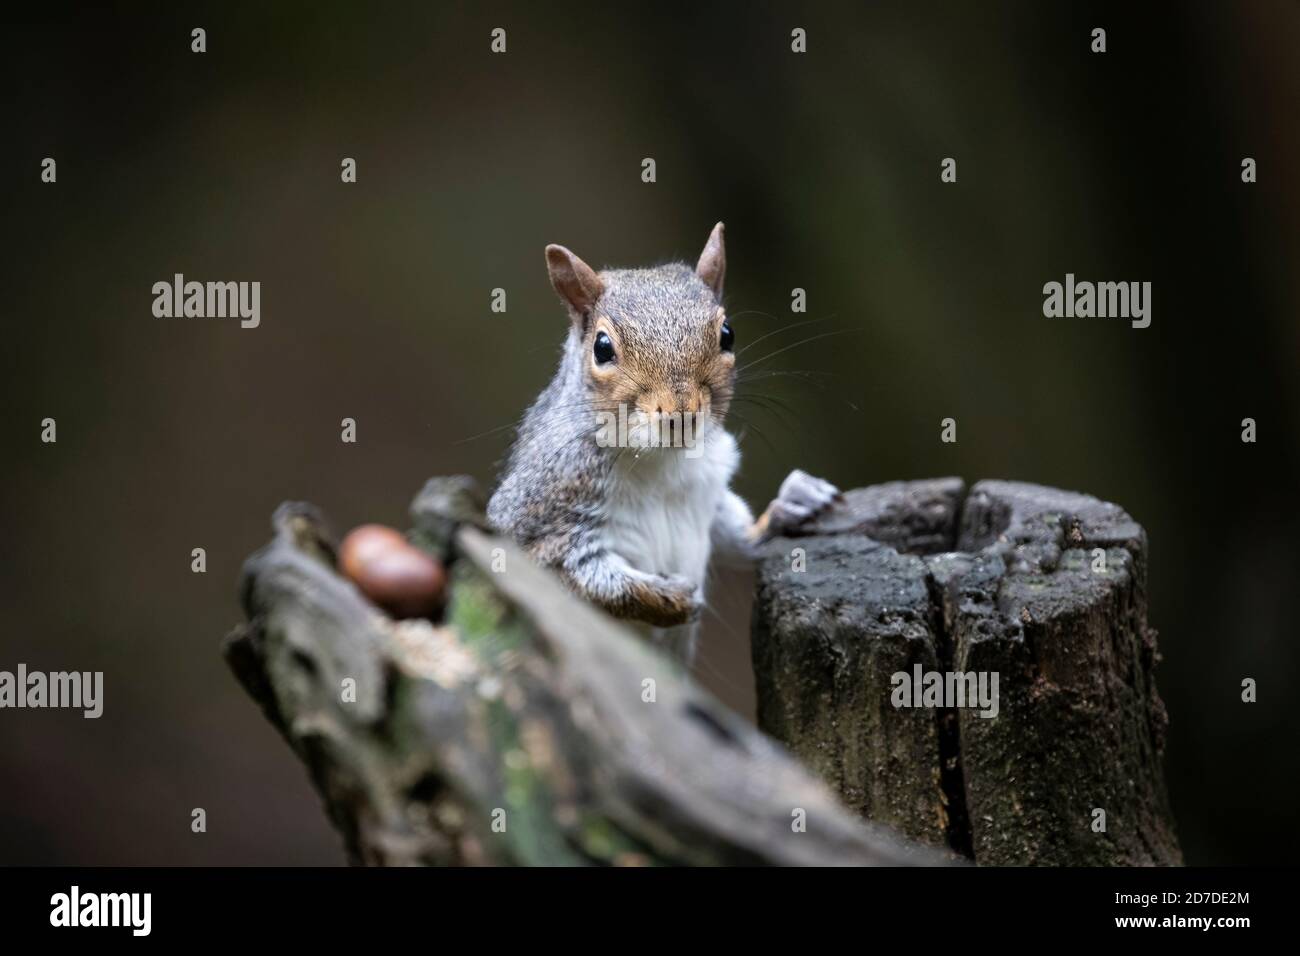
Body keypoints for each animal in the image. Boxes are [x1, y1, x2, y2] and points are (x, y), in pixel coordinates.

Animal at [487, 223, 841, 663]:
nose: (681, 412)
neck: (660, 461)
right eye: (602, 348)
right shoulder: (538, 513)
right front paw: (671, 597)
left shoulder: (709, 494)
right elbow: (586, 580)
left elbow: (737, 538)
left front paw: (792, 504)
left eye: (728, 335)